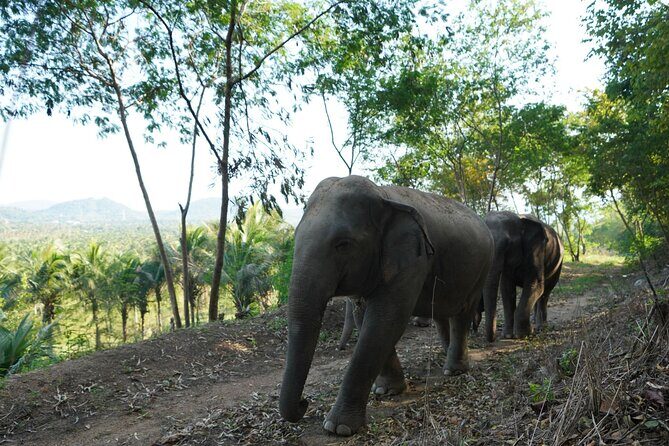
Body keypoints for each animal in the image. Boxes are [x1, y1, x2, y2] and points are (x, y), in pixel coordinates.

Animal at [279, 176, 493, 436]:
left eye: (343, 244)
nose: (304, 403)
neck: (382, 195)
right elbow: (368, 319)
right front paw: (387, 391)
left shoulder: (415, 258)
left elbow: (385, 320)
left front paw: (338, 427)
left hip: (483, 268)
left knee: (462, 313)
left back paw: (454, 371)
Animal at [481, 211, 564, 342]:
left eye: (507, 244)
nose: (492, 339)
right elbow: (506, 289)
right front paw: (508, 335)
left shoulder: (536, 251)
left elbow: (535, 285)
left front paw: (524, 334)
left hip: (558, 264)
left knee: (545, 293)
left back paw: (541, 327)